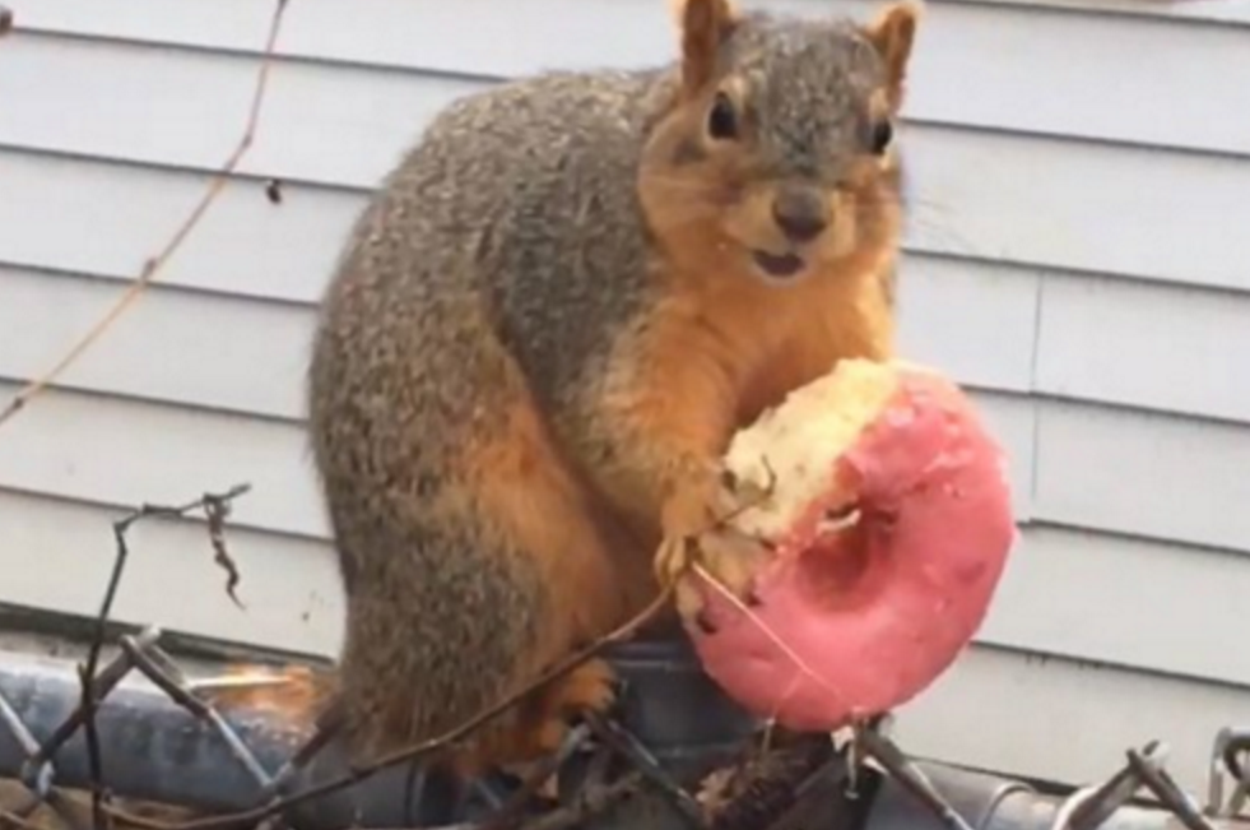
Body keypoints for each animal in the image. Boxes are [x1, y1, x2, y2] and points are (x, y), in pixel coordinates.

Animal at [203, 0, 919, 781]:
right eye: (722, 114)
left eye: (881, 132)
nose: (801, 216)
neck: (763, 290)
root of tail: (367, 680)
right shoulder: (588, 295)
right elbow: (620, 418)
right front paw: (702, 511)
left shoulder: (837, 326)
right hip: (494, 566)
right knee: (449, 735)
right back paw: (544, 718)